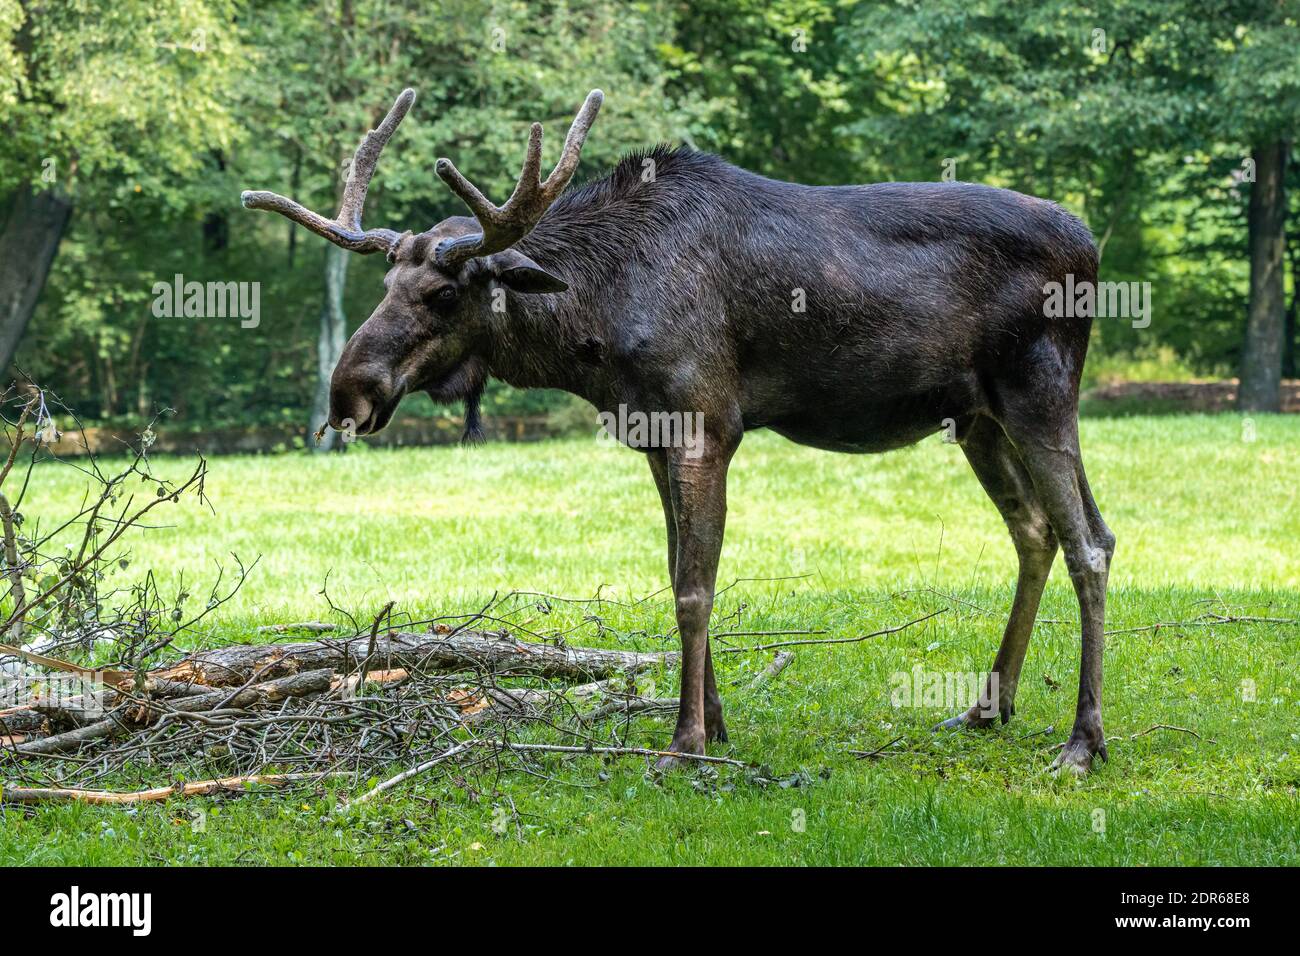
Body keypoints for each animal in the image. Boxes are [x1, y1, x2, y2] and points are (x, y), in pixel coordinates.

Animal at [241, 88, 1115, 775]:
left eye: (446, 292)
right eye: (387, 281)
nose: (350, 391)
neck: (593, 324)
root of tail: (1094, 246)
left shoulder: (707, 424)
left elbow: (697, 586)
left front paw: (685, 743)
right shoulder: (652, 433)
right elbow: (673, 572)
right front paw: (714, 724)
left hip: (1038, 390)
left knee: (1089, 542)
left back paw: (1081, 742)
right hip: (976, 416)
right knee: (1037, 530)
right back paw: (988, 706)